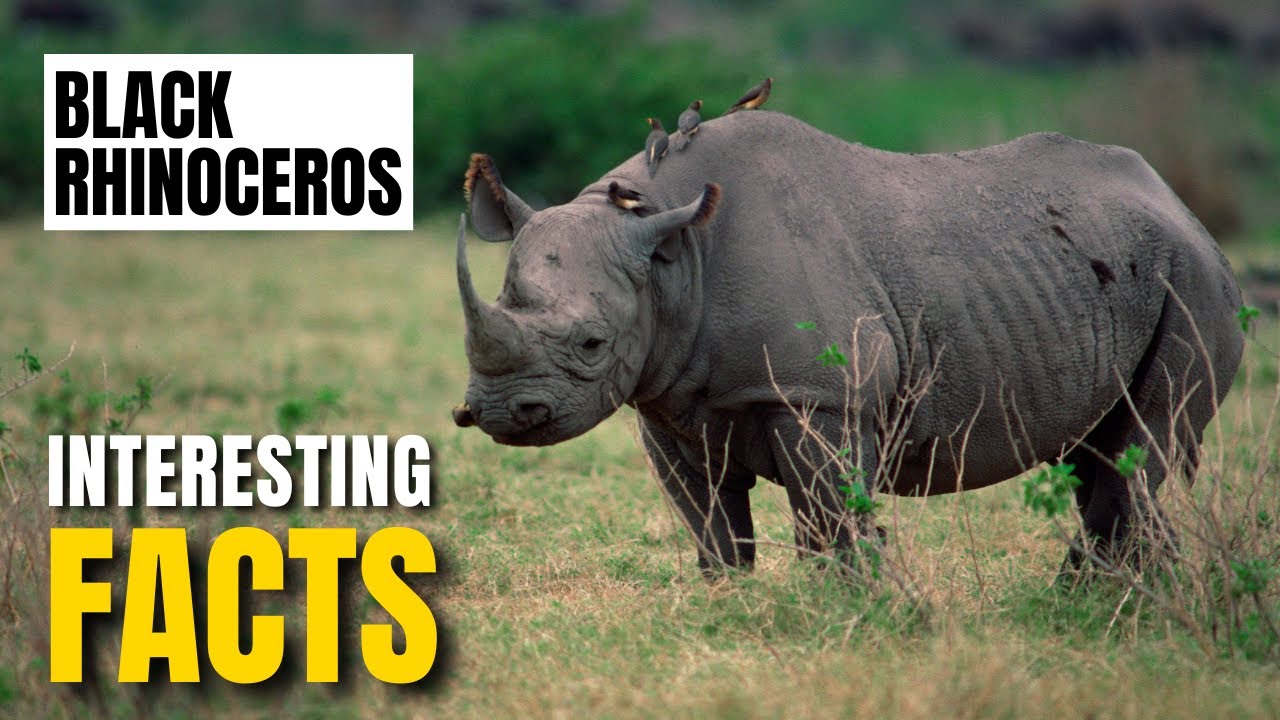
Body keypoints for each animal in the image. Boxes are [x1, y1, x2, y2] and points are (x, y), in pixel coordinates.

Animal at [451, 109, 1243, 575]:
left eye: (592, 343)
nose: (500, 414)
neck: (669, 255)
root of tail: (1178, 203)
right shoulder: (665, 403)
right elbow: (711, 526)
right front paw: (733, 605)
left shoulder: (820, 399)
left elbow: (830, 515)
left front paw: (841, 612)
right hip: (1108, 272)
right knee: (1098, 455)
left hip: (1193, 280)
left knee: (1142, 445)